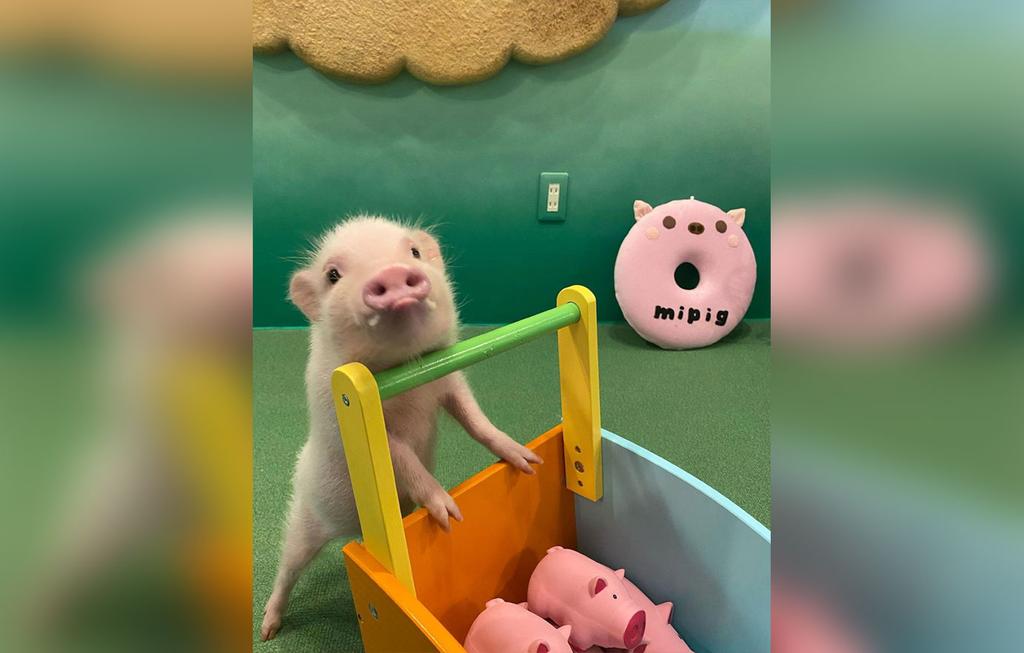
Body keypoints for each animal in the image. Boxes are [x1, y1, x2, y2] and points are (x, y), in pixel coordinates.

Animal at [260, 216, 542, 640]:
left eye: (413, 251)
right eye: (332, 275)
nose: (390, 273)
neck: (407, 368)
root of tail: (353, 532)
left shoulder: (448, 378)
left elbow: (475, 420)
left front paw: (526, 461)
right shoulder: (344, 415)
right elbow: (404, 458)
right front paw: (450, 515)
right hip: (305, 519)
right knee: (288, 567)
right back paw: (268, 628)